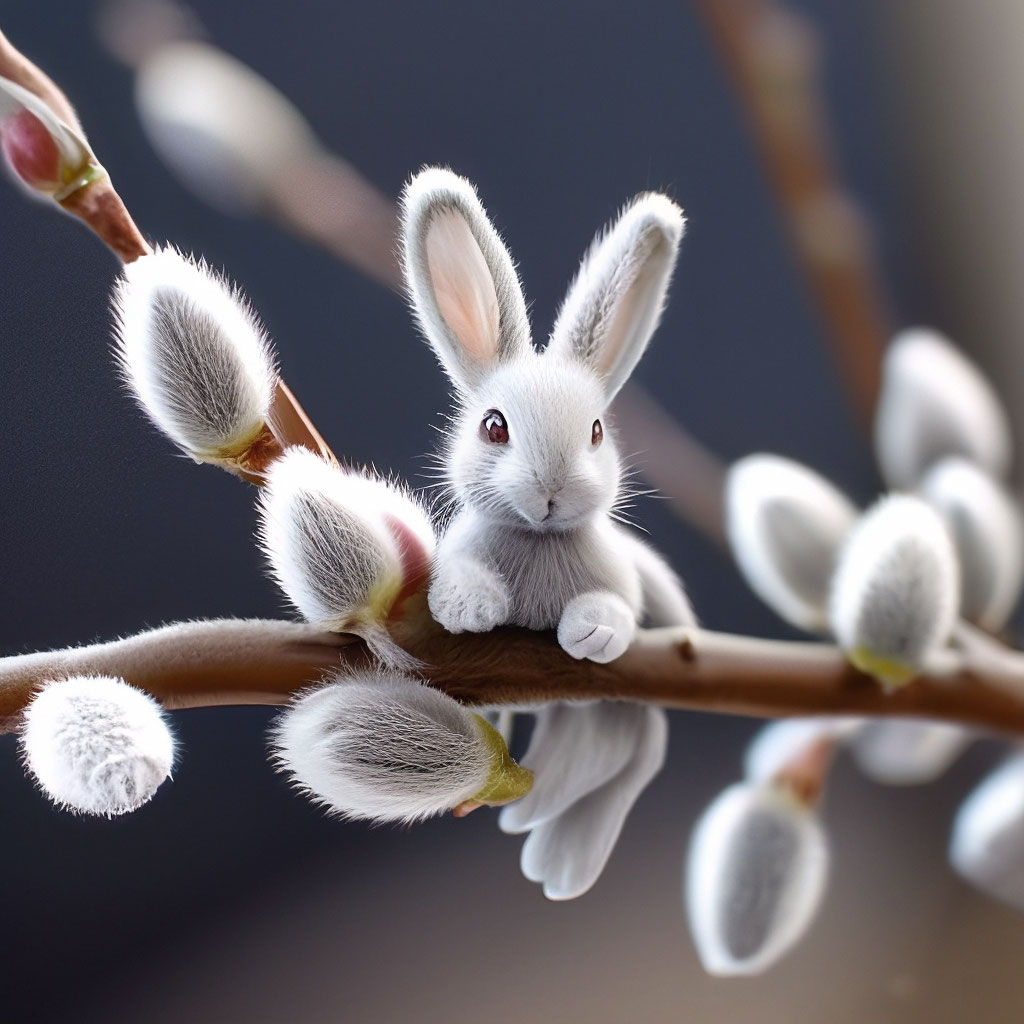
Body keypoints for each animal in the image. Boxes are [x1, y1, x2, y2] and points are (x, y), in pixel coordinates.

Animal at [402, 167, 694, 662]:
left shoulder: (620, 586)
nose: (551, 491)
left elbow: (612, 607)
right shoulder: (456, 556)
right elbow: (458, 579)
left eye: (596, 432)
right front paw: (470, 606)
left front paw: (593, 631)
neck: (540, 541)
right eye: (493, 427)